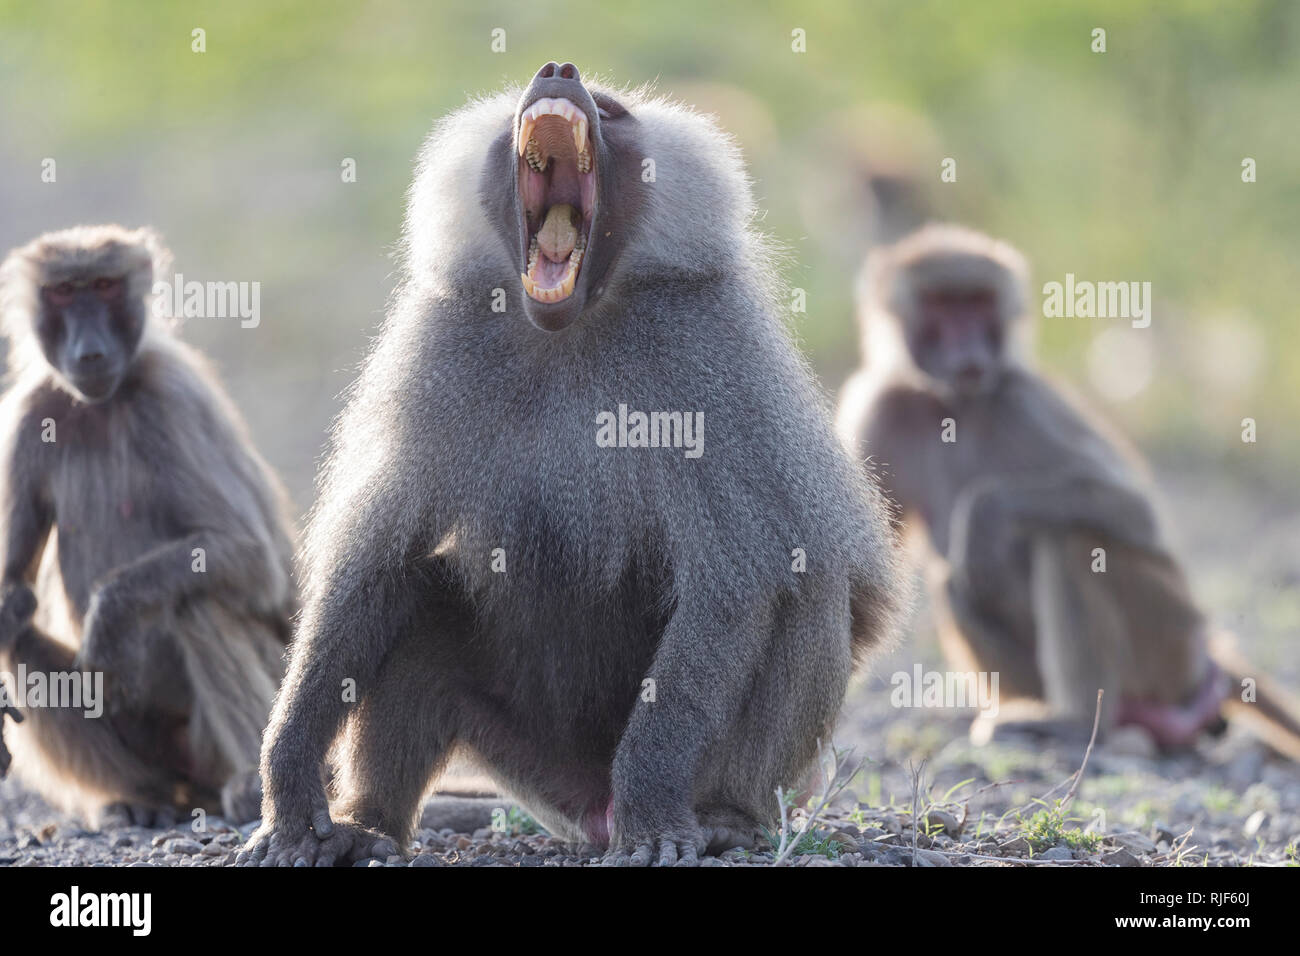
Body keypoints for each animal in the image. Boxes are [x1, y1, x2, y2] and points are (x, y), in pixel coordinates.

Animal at [0, 225, 297, 826]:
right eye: (62, 292)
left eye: (105, 286)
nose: (90, 351)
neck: (100, 405)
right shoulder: (27, 417)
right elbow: (11, 587)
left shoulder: (172, 397)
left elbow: (253, 561)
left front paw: (110, 617)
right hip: (148, 744)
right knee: (18, 633)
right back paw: (144, 799)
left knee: (195, 599)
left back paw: (249, 785)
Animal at [237, 61, 902, 868]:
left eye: (610, 112)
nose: (555, 70)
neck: (569, 328)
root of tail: (589, 810)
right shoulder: (437, 350)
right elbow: (374, 566)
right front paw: (289, 782)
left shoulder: (714, 355)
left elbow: (734, 585)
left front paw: (656, 818)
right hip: (529, 760)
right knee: (420, 607)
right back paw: (368, 827)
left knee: (807, 589)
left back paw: (721, 818)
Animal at [836, 223, 1300, 759]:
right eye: (942, 306)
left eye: (978, 303)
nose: (968, 352)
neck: (948, 403)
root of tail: (1205, 648)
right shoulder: (879, 410)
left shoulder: (1023, 401)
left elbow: (1137, 511)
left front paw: (987, 511)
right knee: (956, 582)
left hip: (1170, 635)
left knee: (1072, 541)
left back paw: (1074, 719)